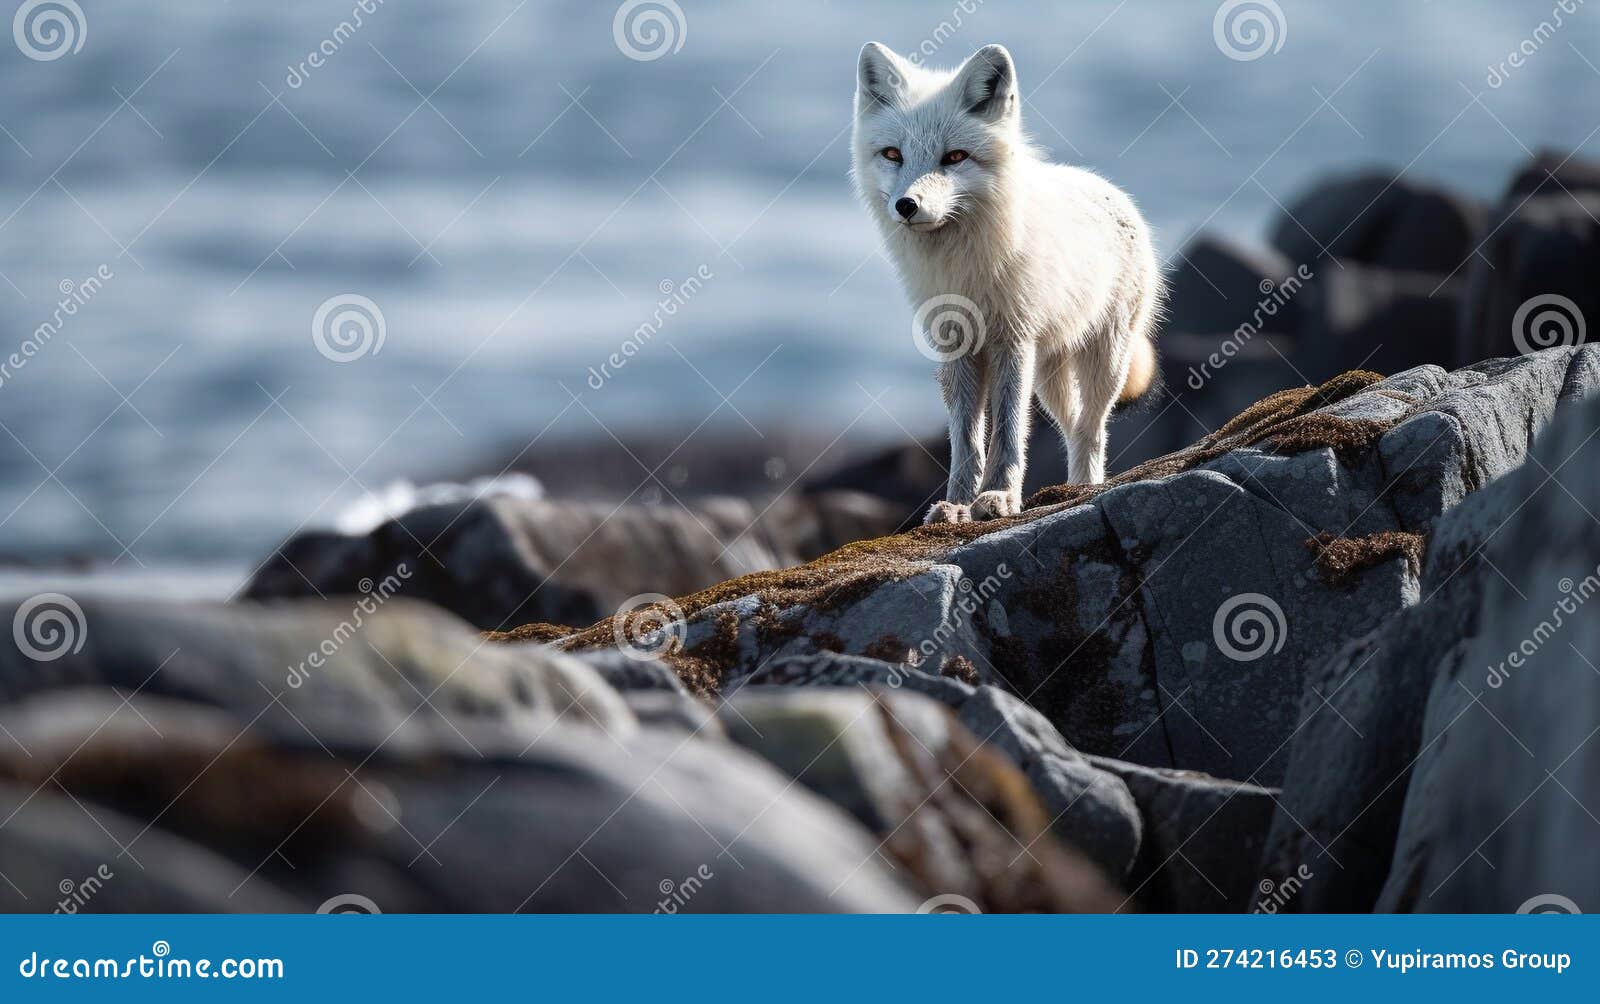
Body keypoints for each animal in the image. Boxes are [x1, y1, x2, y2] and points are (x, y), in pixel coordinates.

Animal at [852, 42, 1163, 524]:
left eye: (954, 157)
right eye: (892, 154)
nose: (907, 205)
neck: (965, 269)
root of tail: (1108, 187)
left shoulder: (1012, 341)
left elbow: (1009, 431)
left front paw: (999, 497)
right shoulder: (956, 346)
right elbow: (966, 439)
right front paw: (957, 504)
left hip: (1102, 362)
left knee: (1091, 430)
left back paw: (1084, 488)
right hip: (1050, 378)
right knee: (1072, 426)